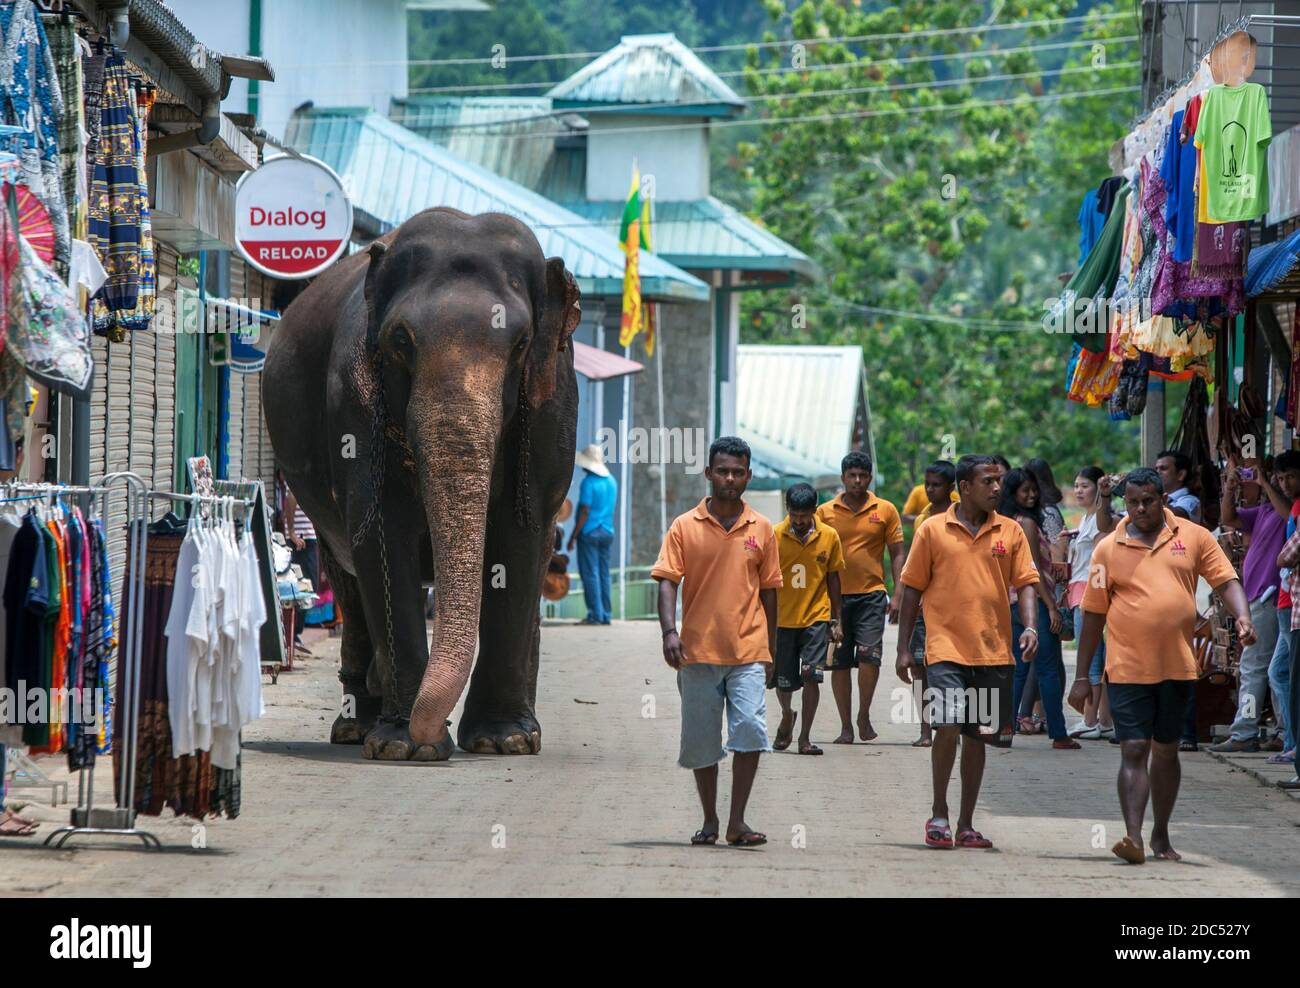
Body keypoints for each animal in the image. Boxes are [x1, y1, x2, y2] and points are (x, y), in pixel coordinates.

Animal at [263, 208, 579, 759]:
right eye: (401, 341)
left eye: (521, 344)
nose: (429, 729)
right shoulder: (353, 402)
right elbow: (381, 535)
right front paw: (403, 747)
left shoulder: (551, 408)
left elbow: (521, 539)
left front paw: (502, 741)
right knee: (346, 575)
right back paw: (357, 726)